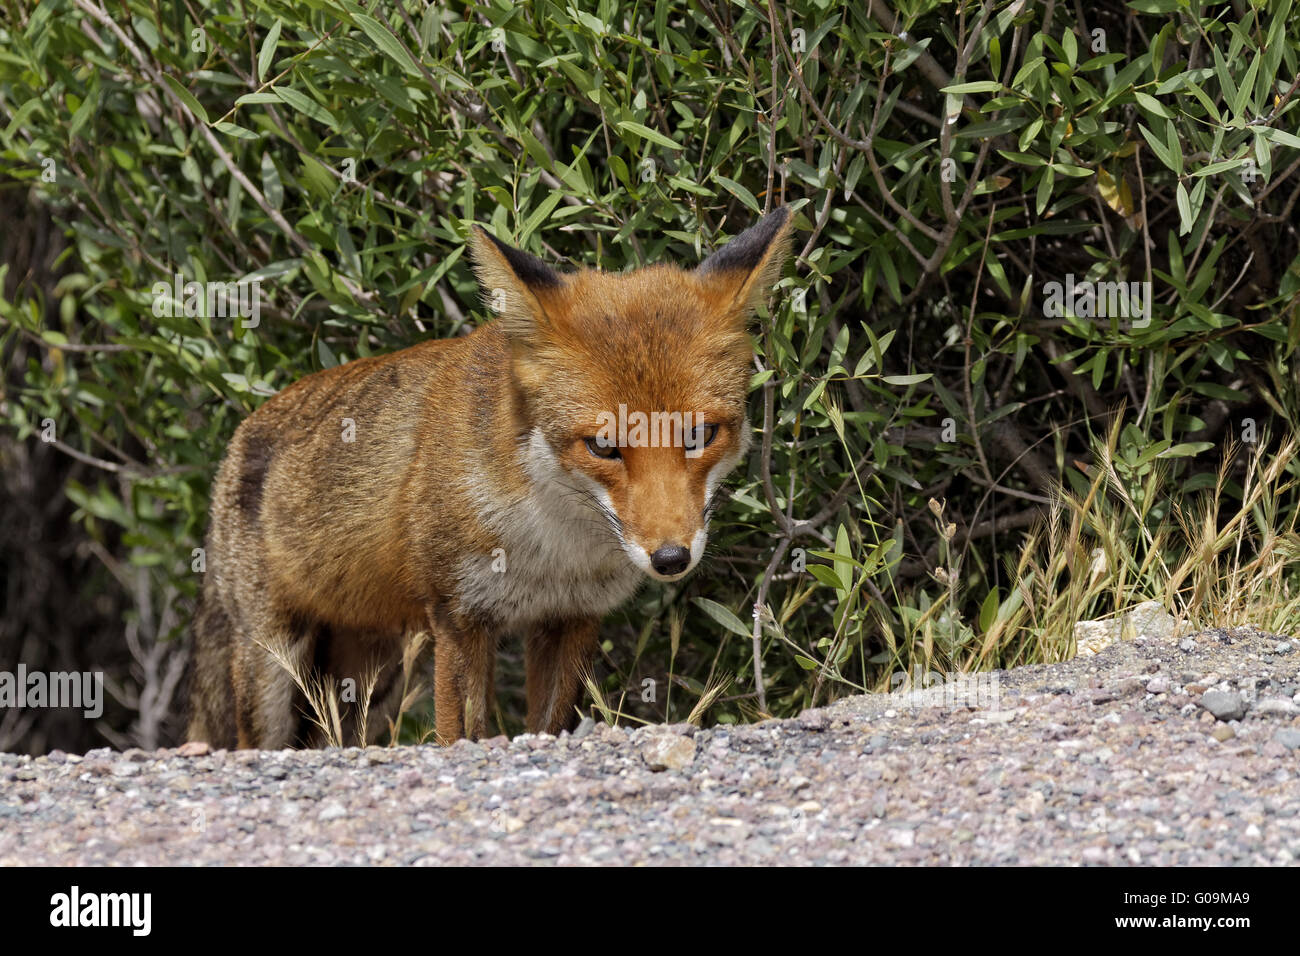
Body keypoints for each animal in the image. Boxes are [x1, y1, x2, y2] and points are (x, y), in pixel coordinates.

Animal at [184, 207, 794, 749]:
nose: (670, 559)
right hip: (272, 667)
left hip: (371, 680)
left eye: (698, 435)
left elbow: (546, 724)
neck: (554, 546)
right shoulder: (459, 617)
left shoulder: (571, 619)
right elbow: (462, 732)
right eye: (603, 446)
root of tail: (239, 437)